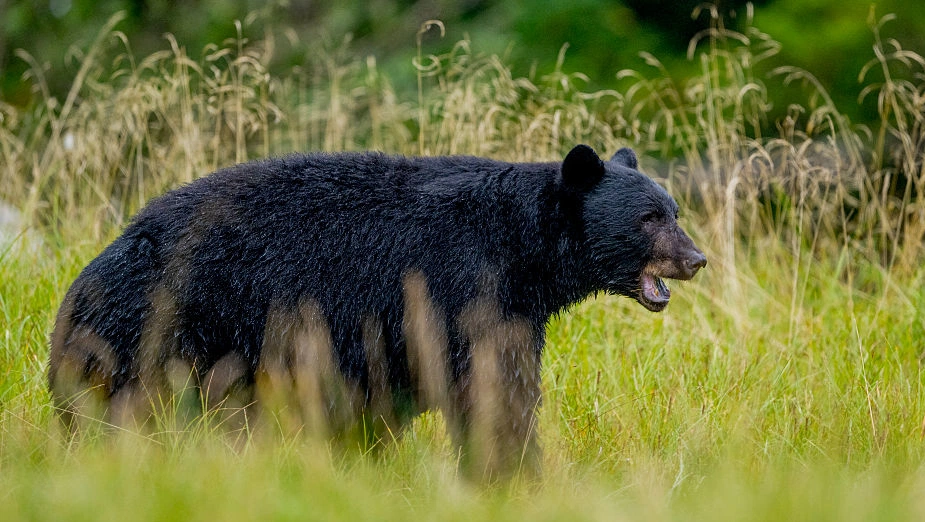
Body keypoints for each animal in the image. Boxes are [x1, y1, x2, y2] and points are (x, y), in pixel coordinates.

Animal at [49, 144, 706, 477]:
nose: (696, 258)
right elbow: (491, 388)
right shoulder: (455, 290)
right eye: (650, 218)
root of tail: (77, 290)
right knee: (132, 409)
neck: (522, 252)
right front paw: (511, 472)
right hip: (158, 333)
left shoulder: (505, 310)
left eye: (673, 209)